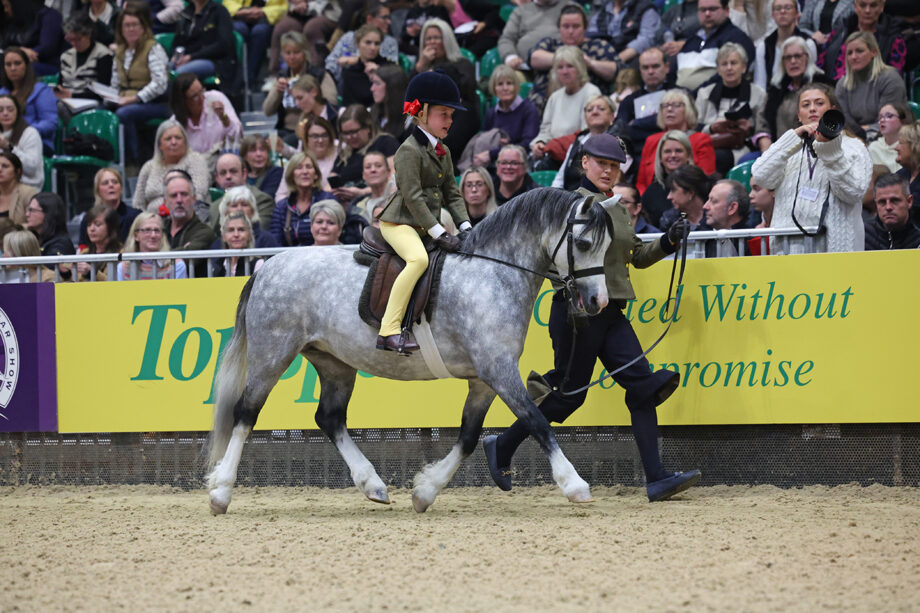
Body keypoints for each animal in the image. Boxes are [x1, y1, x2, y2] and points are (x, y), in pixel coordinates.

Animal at [206, 188, 620, 514]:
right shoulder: (498, 370)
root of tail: (266, 267)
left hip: (335, 362)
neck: (493, 274)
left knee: (329, 418)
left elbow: (469, 436)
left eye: (607, 246)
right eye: (584, 244)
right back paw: (221, 492)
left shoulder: (484, 380)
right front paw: (574, 484)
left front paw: (425, 492)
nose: (598, 302)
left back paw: (372, 484)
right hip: (273, 355)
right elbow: (537, 421)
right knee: (246, 413)